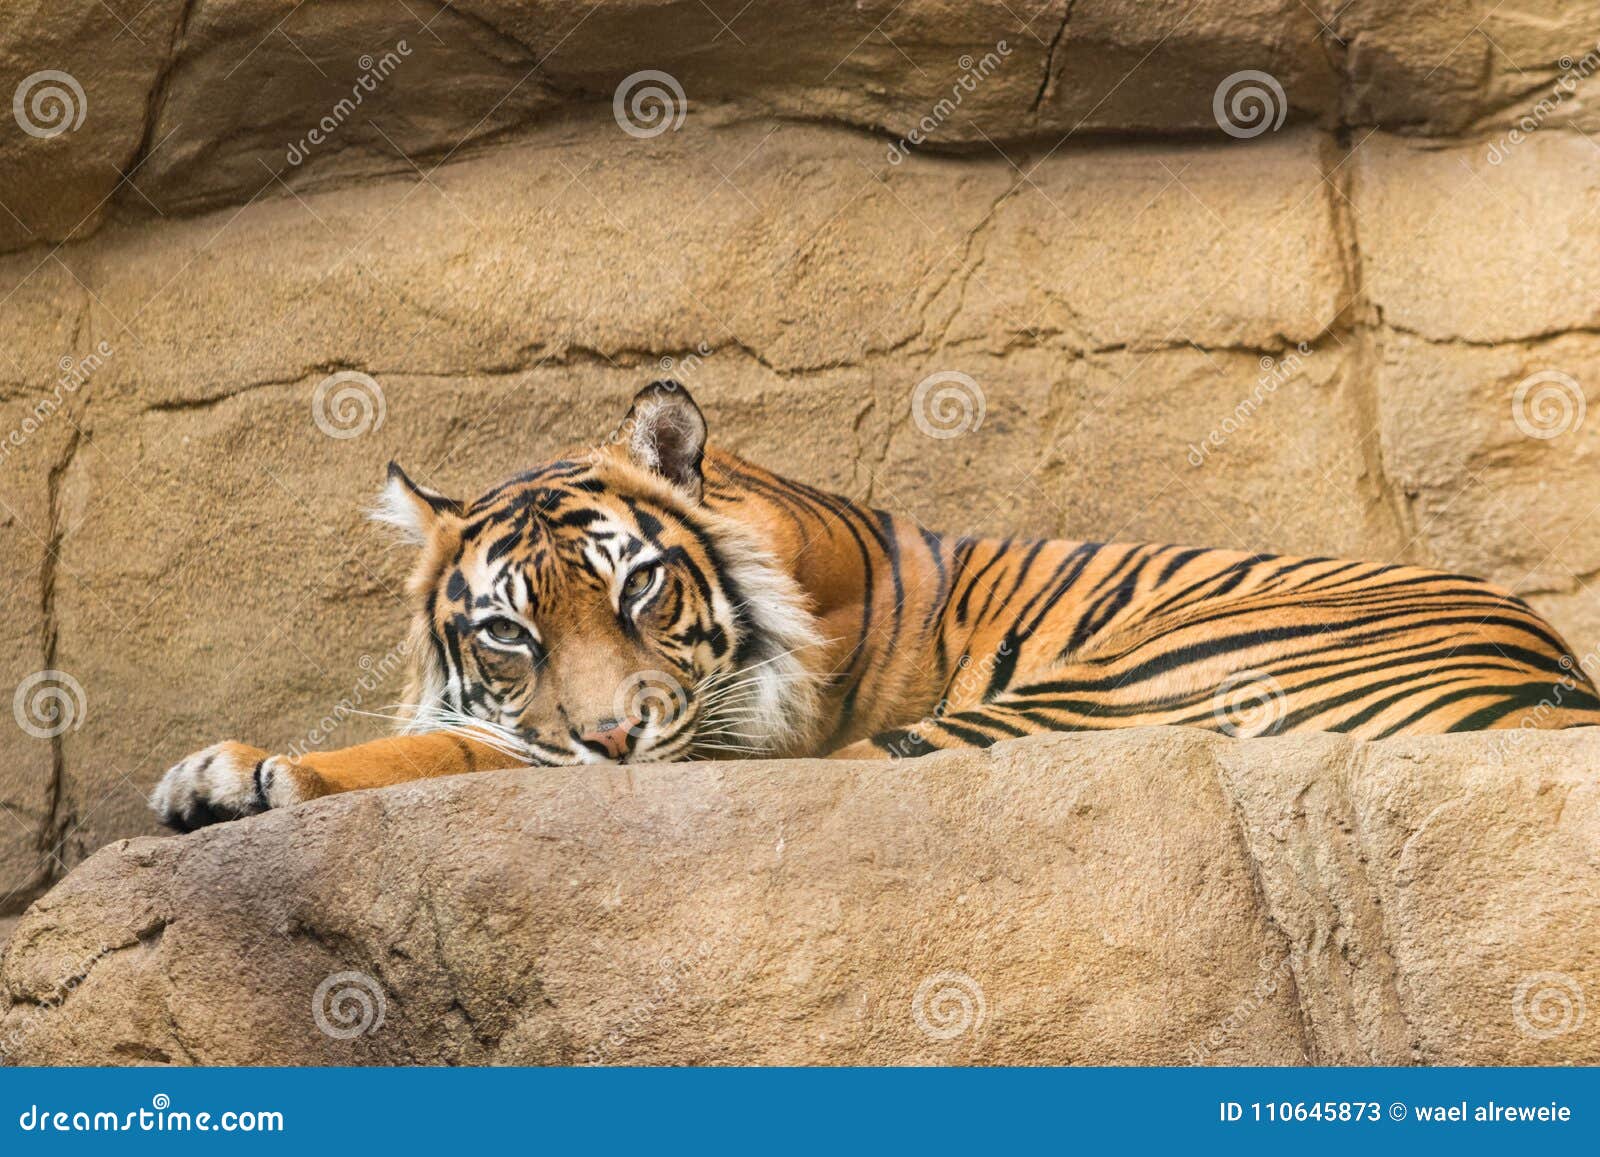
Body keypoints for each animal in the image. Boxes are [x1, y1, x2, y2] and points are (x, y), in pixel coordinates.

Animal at [151, 380, 1600, 830]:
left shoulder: (714, 742)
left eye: (640, 587)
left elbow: (461, 751)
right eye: (508, 629)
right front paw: (219, 770)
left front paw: (253, 772)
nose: (615, 737)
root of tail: (1555, 675)